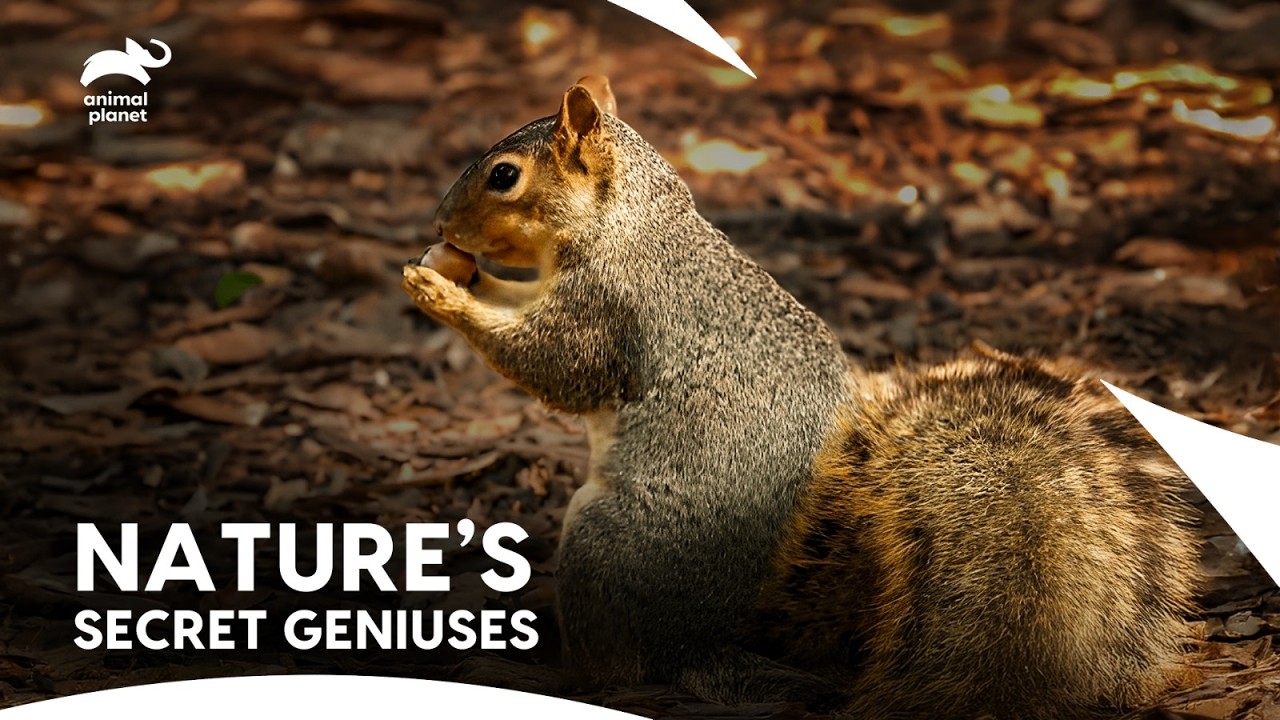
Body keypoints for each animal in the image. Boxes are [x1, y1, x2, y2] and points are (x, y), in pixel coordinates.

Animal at [402, 76, 1202, 719]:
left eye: (504, 176)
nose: (438, 225)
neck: (629, 223)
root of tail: (705, 647)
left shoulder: (609, 309)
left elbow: (555, 366)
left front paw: (440, 291)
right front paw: (455, 273)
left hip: (605, 543)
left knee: (613, 671)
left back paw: (534, 672)